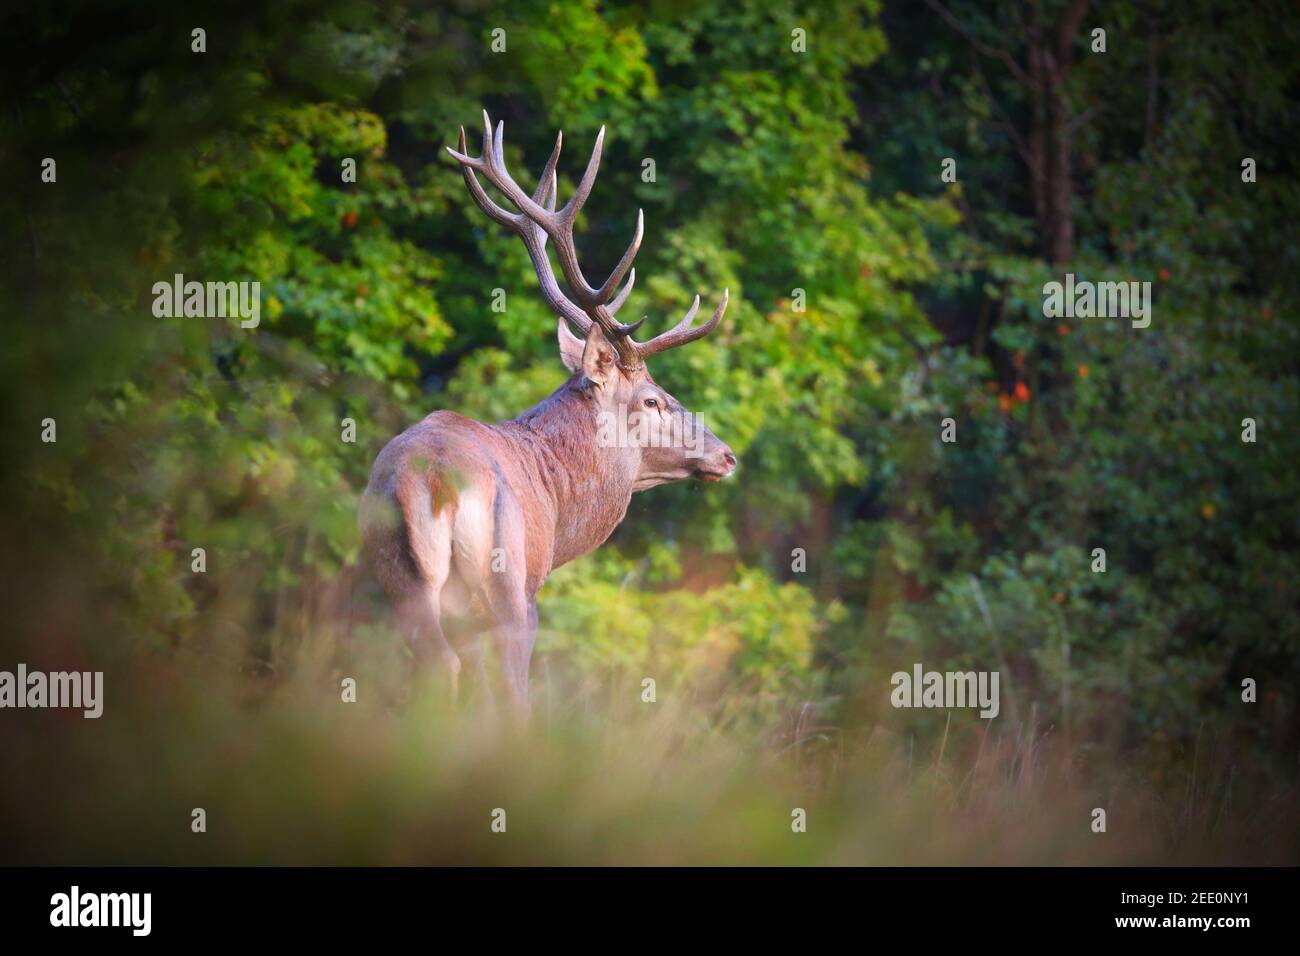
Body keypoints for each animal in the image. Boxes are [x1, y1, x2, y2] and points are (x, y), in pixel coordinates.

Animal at [359, 112, 736, 719]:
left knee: (436, 671)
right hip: (507, 586)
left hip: (400, 581)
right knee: (506, 691)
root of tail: (432, 481)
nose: (727, 455)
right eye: (651, 399)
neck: (558, 499)